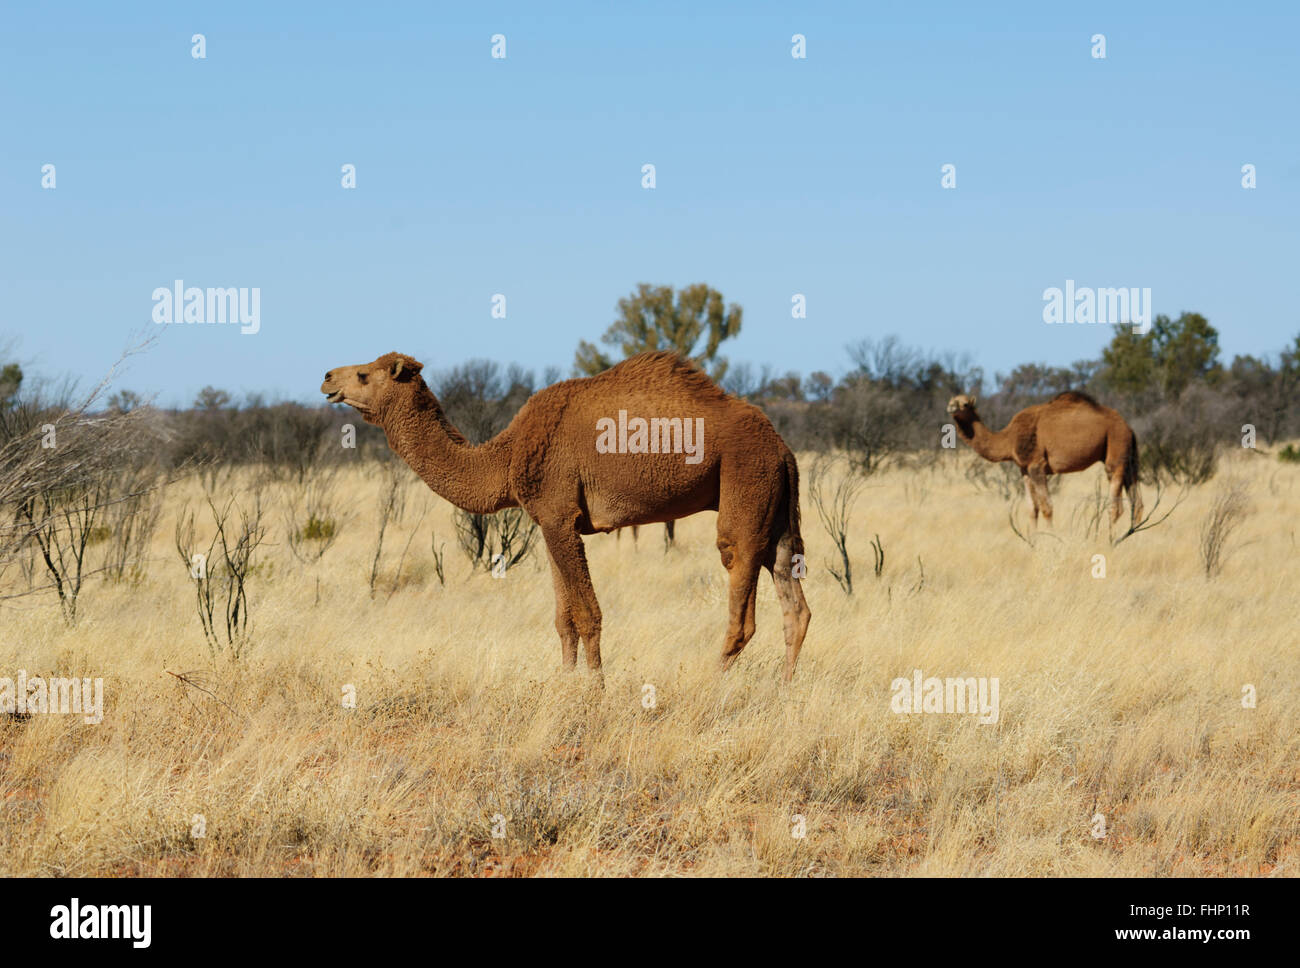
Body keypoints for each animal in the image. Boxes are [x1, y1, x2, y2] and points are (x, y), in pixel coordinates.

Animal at [322, 351, 811, 679]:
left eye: (364, 374)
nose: (327, 377)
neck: (506, 455)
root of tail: (783, 448)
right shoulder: (551, 523)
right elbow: (564, 620)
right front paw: (565, 682)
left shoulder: (559, 515)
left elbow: (588, 614)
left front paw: (596, 690)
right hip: (777, 511)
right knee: (795, 605)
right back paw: (783, 689)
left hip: (745, 482)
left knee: (741, 590)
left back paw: (710, 684)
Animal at [945, 391, 1143, 533]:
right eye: (952, 400)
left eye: (965, 404)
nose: (951, 407)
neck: (1009, 438)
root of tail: (1129, 428)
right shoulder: (1024, 470)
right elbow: (1032, 509)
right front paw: (1033, 543)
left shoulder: (1037, 466)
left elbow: (1047, 508)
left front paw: (1051, 541)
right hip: (1127, 457)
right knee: (1137, 503)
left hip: (1115, 446)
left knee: (1116, 505)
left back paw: (1110, 541)